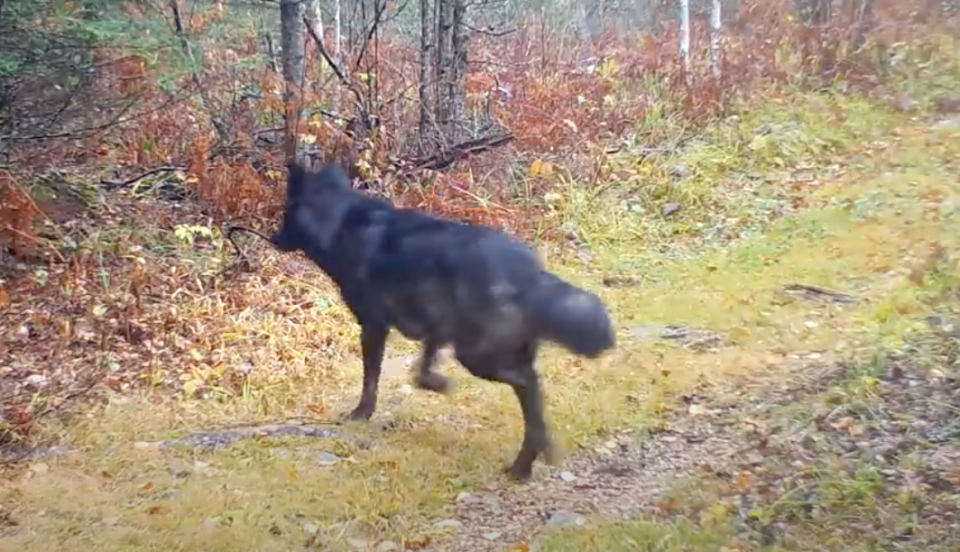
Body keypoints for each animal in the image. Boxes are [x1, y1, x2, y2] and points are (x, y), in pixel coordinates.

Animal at [270, 162, 615, 481]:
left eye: (284, 214)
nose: (272, 238)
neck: (339, 221)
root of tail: (527, 273)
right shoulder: (434, 332)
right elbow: (420, 371)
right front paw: (434, 383)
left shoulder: (374, 327)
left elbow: (373, 380)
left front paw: (362, 413)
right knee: (533, 396)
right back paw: (528, 461)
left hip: (476, 356)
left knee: (528, 384)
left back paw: (530, 457)